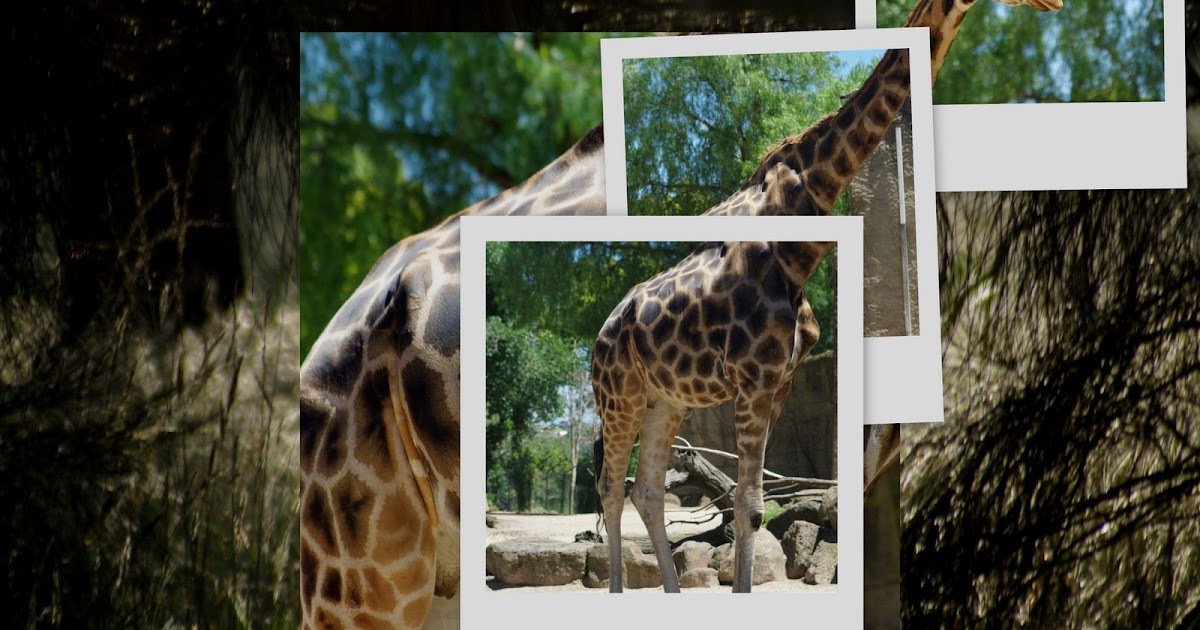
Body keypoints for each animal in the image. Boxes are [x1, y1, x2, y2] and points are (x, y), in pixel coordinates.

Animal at [591, 0, 1062, 593]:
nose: (1056, 4)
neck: (802, 222)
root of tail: (600, 339)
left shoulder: (781, 380)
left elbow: (758, 503)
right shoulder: (754, 378)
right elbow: (750, 506)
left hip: (665, 401)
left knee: (647, 490)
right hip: (619, 396)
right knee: (612, 489)